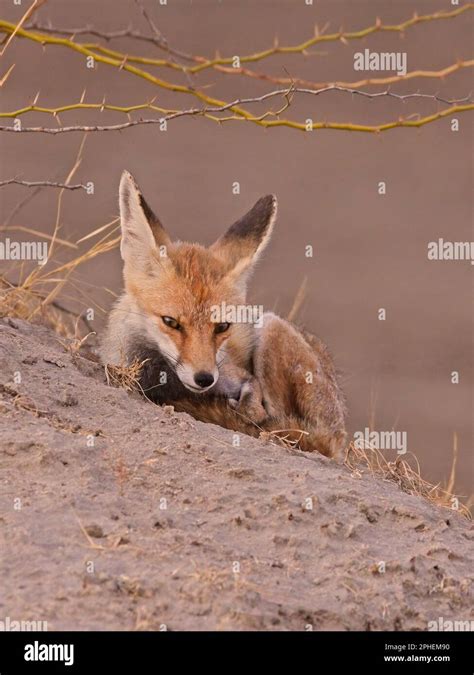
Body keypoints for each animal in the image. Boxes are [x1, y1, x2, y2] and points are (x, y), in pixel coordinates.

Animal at [100, 171, 347, 458]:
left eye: (222, 327)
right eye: (171, 322)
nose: (204, 378)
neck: (162, 378)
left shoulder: (237, 376)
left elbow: (255, 406)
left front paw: (242, 411)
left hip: (270, 326)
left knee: (287, 426)